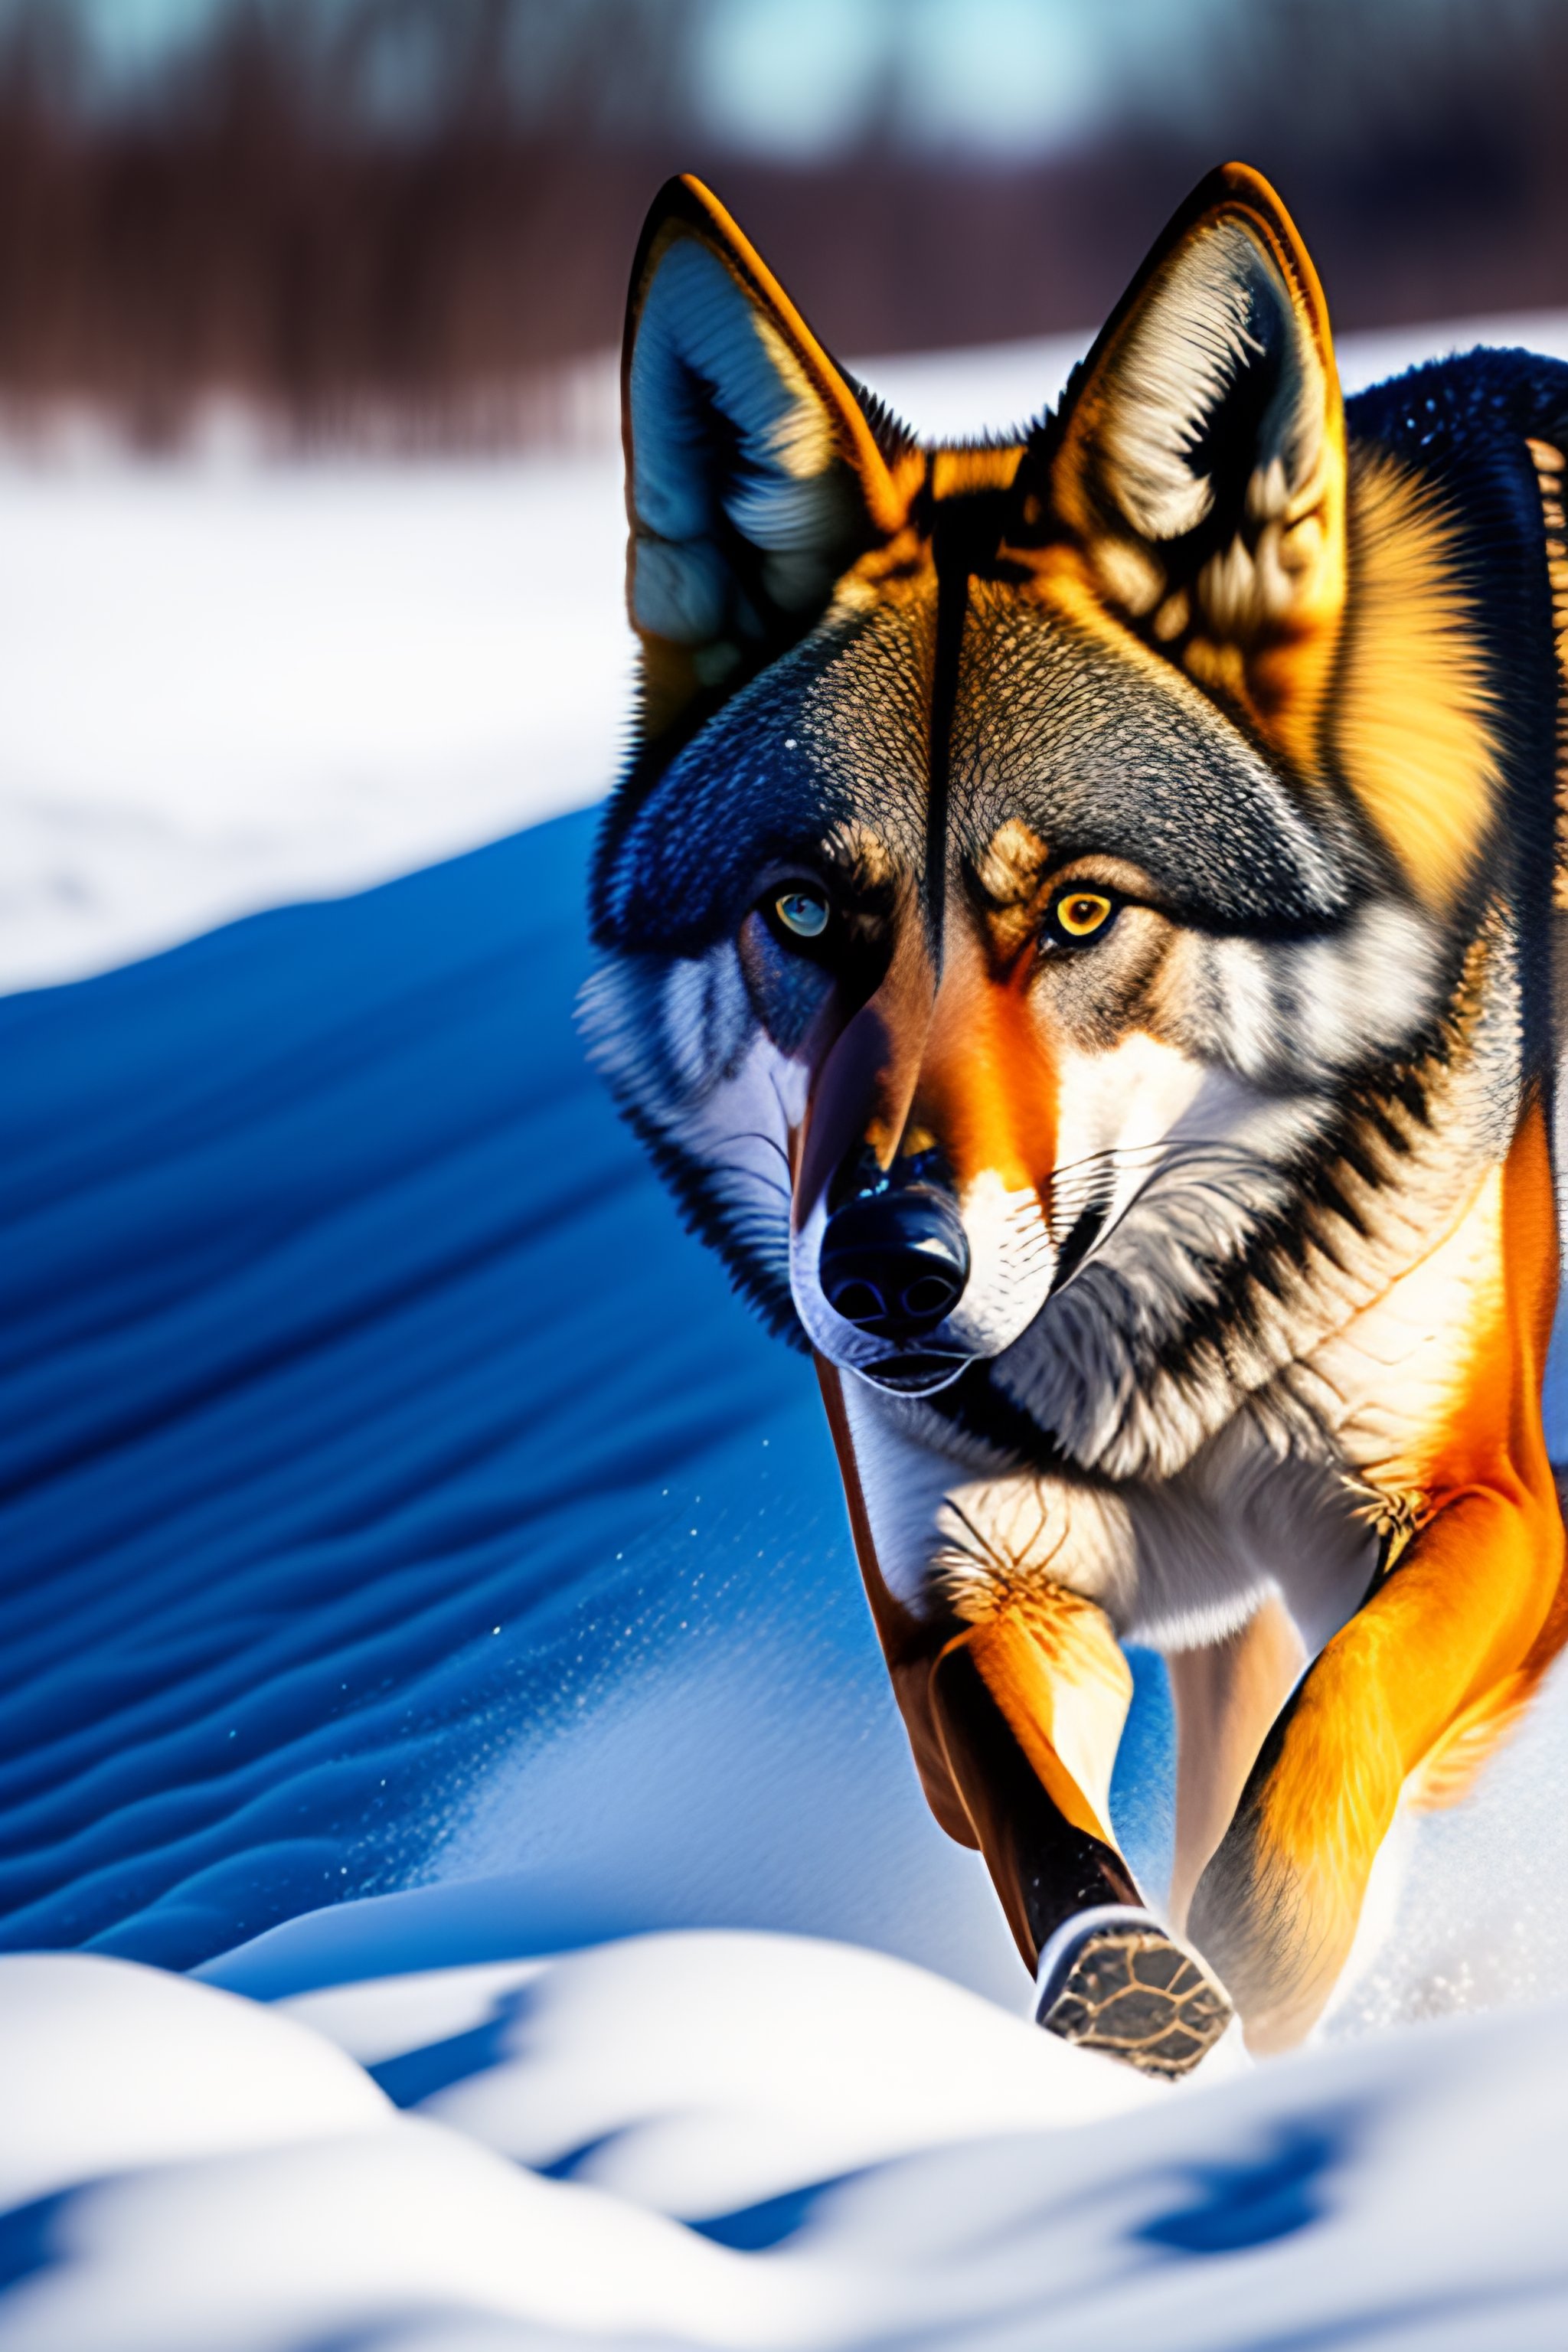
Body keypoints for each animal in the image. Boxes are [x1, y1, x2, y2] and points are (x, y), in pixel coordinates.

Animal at [584, 162, 1568, 2074]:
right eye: (803, 912)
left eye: (1078, 913)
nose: (890, 1271)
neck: (1151, 1374)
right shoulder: (964, 1599)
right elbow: (1047, 1827)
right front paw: (1127, 1996)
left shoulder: (1485, 1512)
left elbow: (1313, 1787)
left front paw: (1271, 2013)